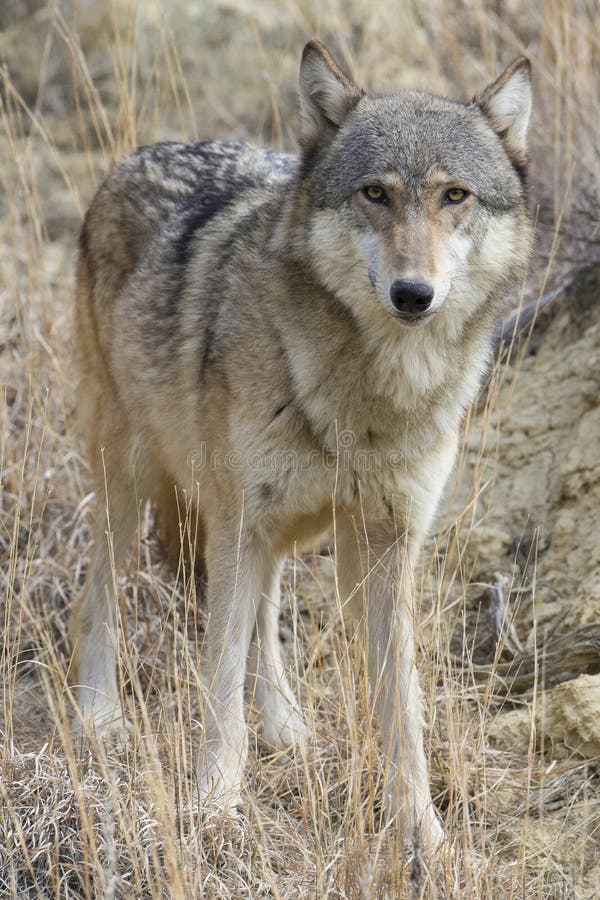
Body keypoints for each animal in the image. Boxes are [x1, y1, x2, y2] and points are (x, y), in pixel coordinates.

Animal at [70, 40, 533, 849]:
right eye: (375, 193)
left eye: (456, 196)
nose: (413, 295)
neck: (368, 397)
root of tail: (143, 152)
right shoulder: (240, 520)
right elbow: (219, 678)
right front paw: (215, 805)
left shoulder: (387, 543)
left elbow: (402, 706)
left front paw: (423, 833)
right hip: (133, 473)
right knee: (103, 591)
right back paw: (99, 713)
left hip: (267, 521)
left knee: (265, 608)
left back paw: (284, 724)